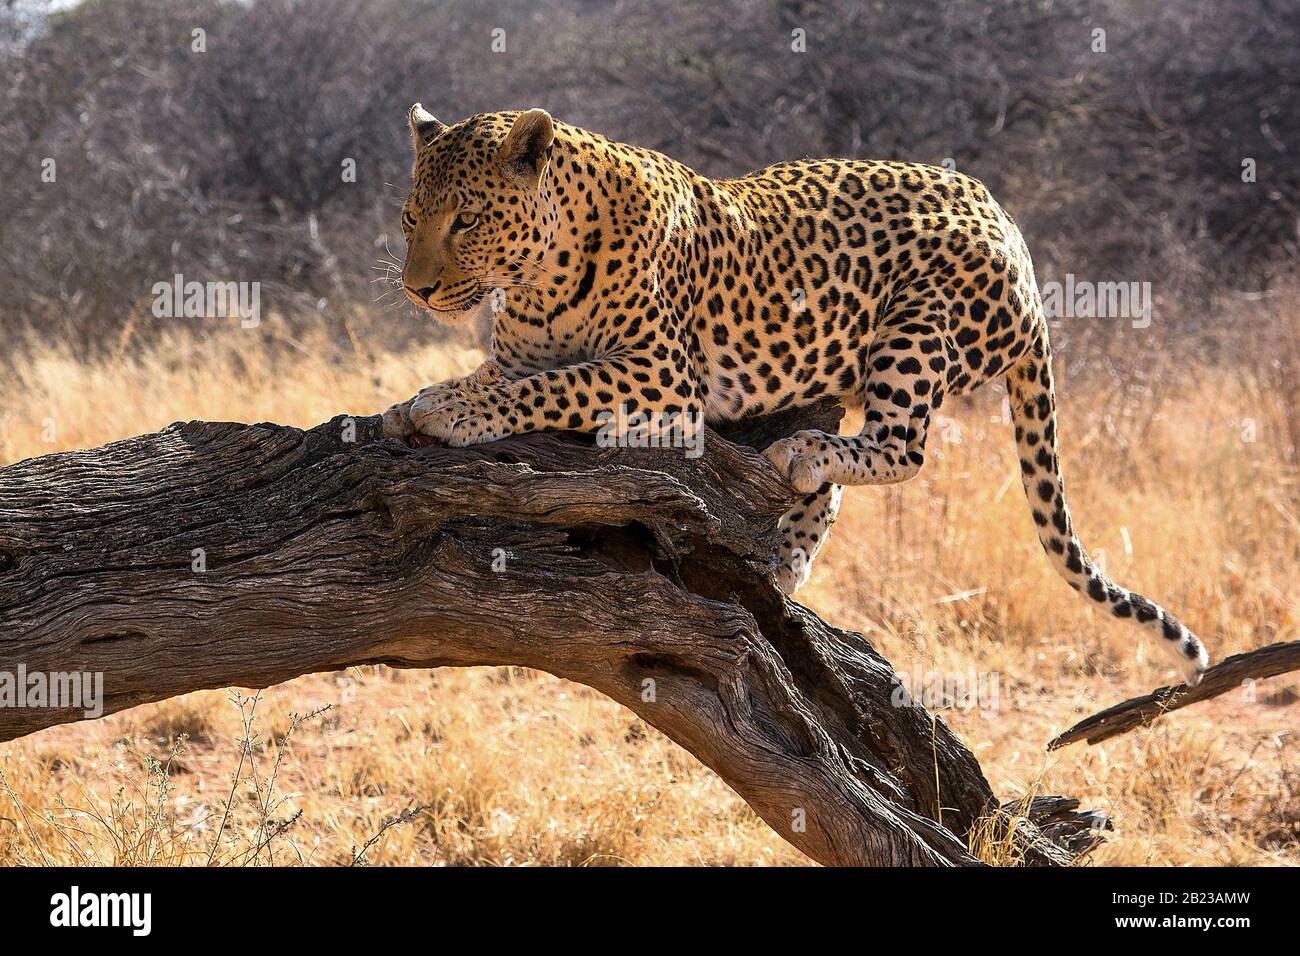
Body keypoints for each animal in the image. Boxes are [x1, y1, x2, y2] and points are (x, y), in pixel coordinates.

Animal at [382, 104, 1210, 687]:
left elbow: (552, 385)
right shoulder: (522, 355)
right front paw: (416, 401)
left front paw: (452, 411)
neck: (537, 278)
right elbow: (507, 376)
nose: (417, 289)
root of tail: (1011, 231)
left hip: (916, 322)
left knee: (903, 448)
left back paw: (802, 455)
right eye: (411, 216)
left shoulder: (662, 373)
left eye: (467, 219)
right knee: (840, 485)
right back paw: (786, 549)